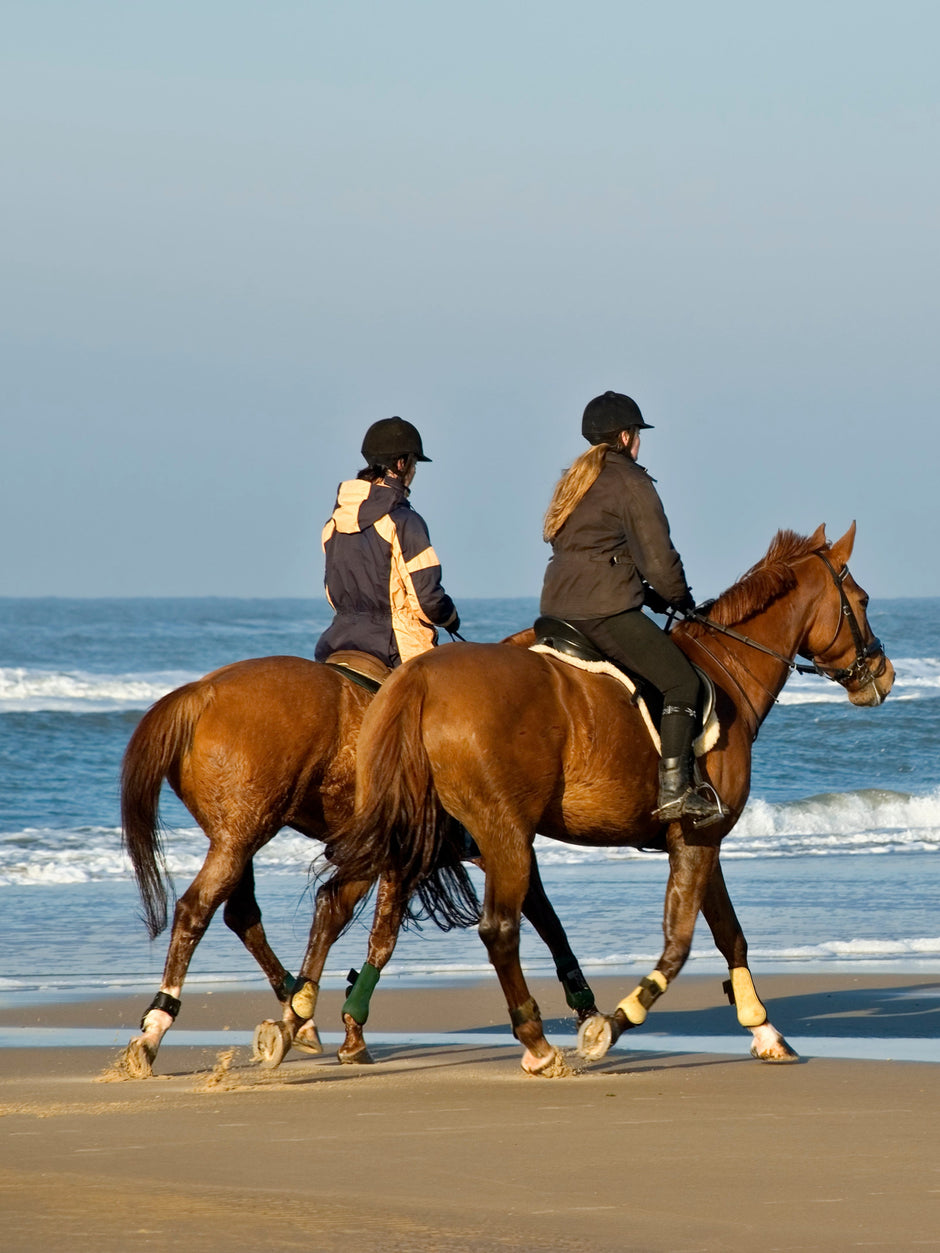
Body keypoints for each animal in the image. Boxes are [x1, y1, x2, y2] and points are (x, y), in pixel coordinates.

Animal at [119, 648, 597, 1077]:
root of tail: (201, 692)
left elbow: (372, 930)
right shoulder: (490, 844)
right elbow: (540, 918)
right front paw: (586, 1011)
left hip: (235, 838)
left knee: (240, 914)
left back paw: (295, 1012)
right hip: (241, 836)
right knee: (196, 909)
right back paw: (157, 1027)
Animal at [325, 524, 894, 1075]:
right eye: (862, 600)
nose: (883, 673)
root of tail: (421, 676)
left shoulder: (701, 841)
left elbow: (730, 934)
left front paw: (764, 1030)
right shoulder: (698, 838)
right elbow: (679, 945)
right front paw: (613, 1025)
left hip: (425, 830)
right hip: (502, 835)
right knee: (498, 929)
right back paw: (537, 1046)